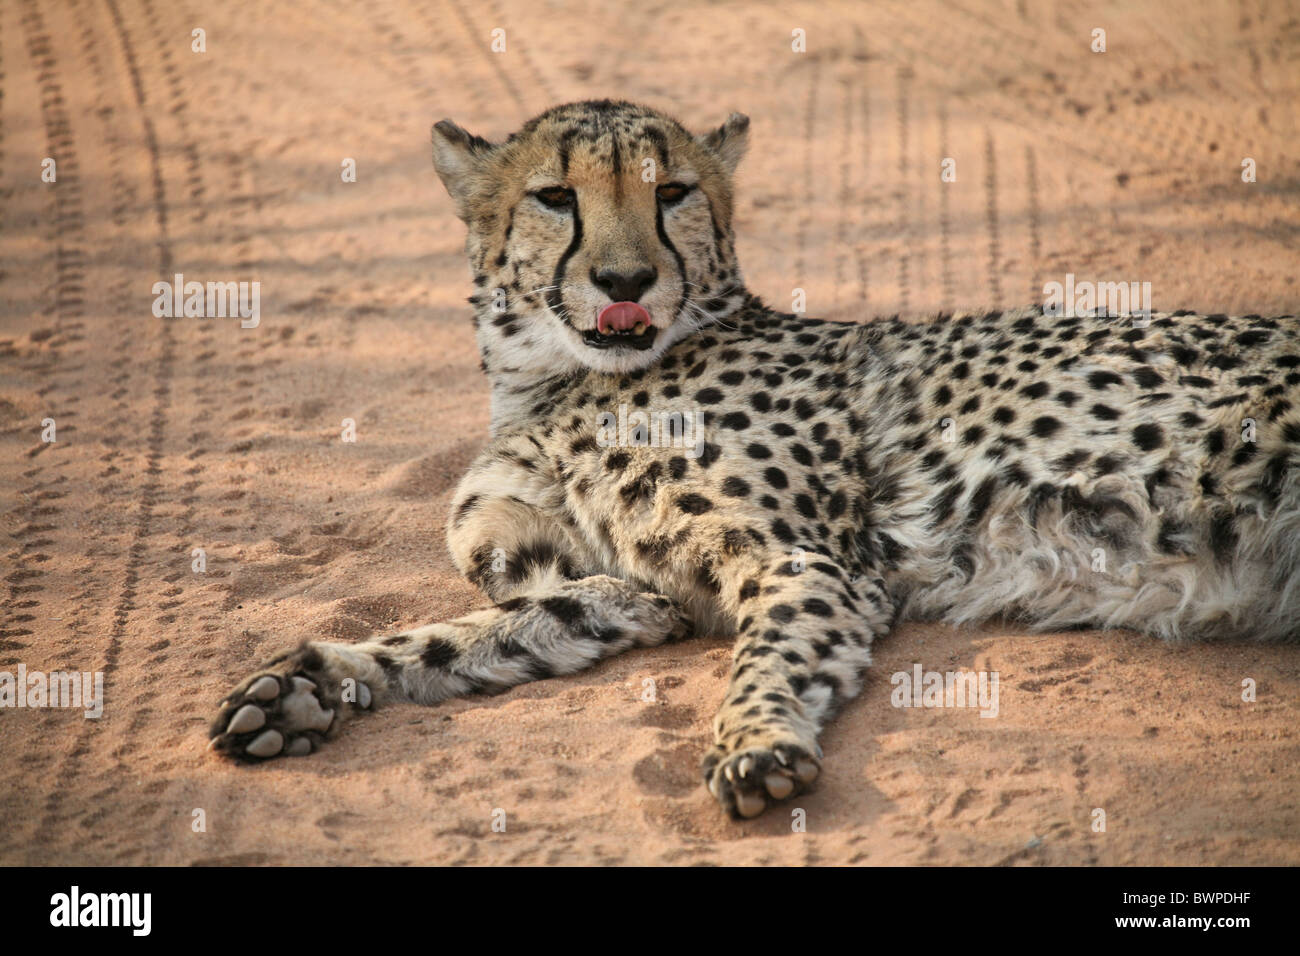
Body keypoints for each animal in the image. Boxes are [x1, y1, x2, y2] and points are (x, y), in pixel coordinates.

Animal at [210, 99, 1300, 819]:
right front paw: (310, 683)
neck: (557, 381)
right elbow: (464, 635)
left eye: (674, 192)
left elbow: (770, 651)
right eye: (555, 196)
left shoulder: (806, 560)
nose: (623, 279)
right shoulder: (633, 591)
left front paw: (756, 742)